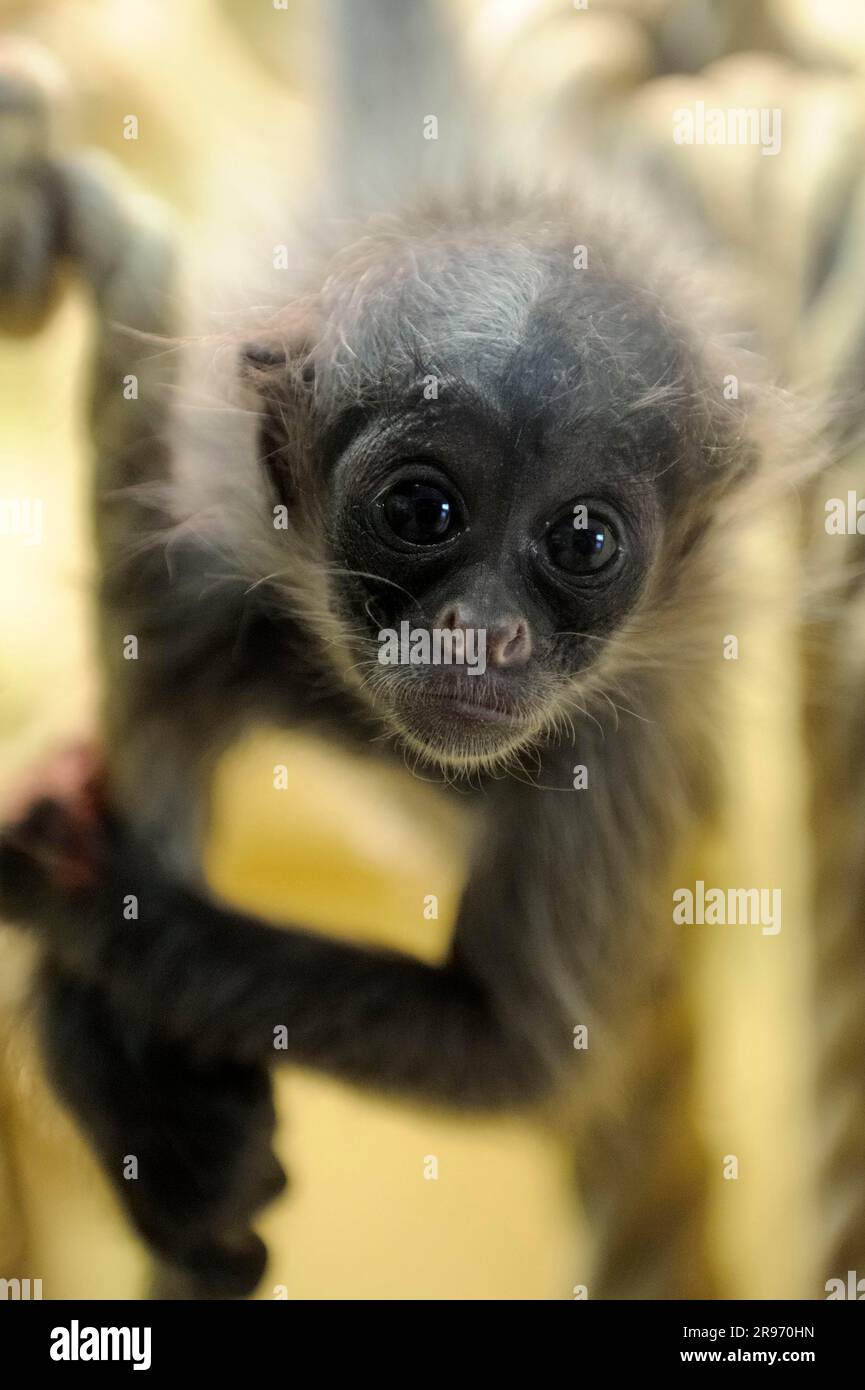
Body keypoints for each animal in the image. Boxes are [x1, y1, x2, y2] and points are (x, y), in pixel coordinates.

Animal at [0, 4, 789, 1299]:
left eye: (583, 538)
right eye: (421, 509)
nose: (483, 631)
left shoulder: (618, 742)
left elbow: (512, 1050)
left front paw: (79, 899)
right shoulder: (194, 600)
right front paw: (130, 1094)